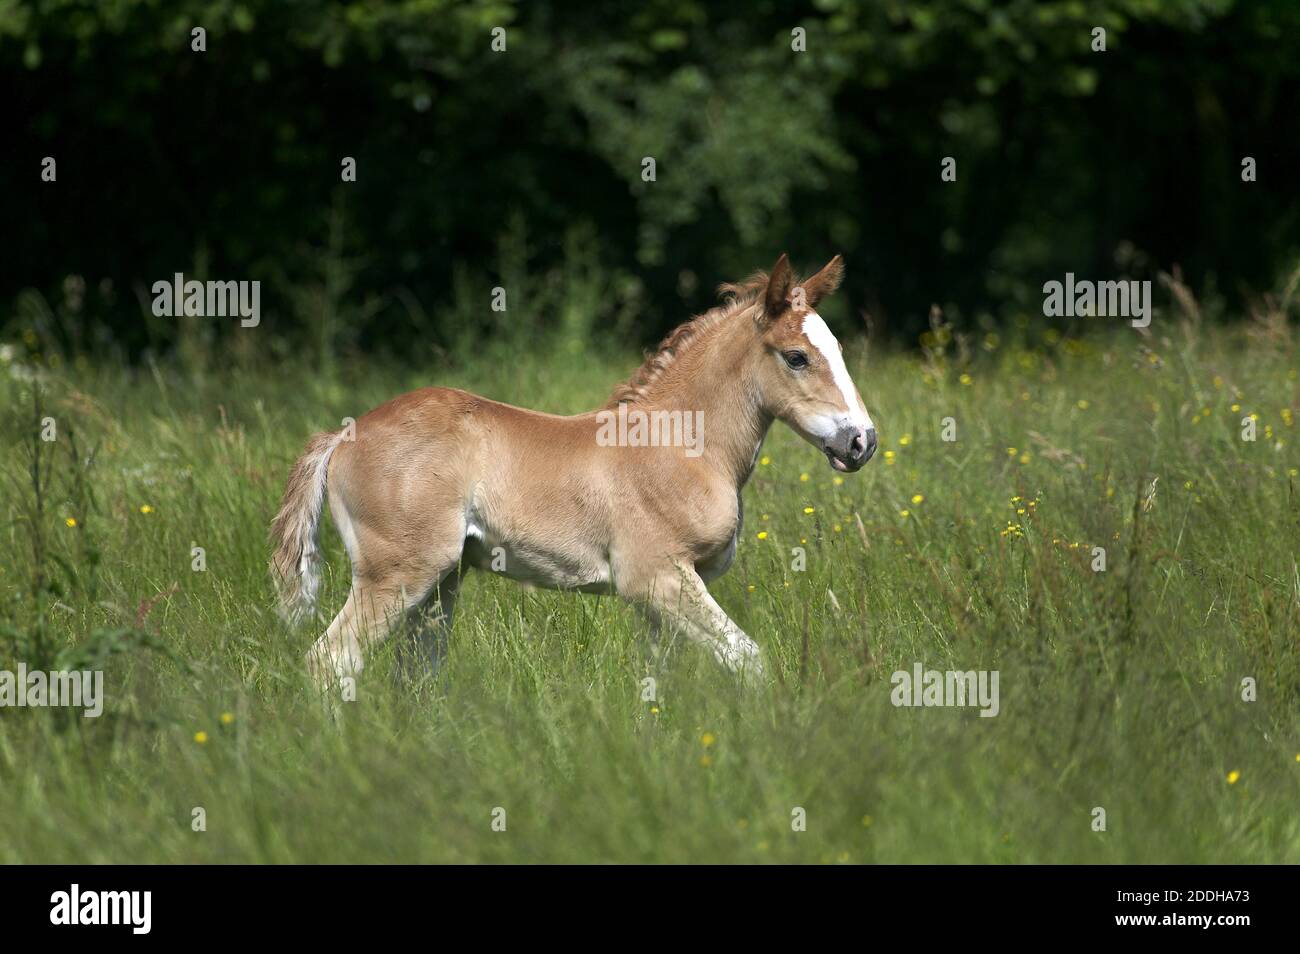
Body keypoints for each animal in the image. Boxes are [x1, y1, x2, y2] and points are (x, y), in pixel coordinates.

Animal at [270, 253, 876, 686]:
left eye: (840, 350)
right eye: (796, 356)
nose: (861, 442)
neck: (681, 445)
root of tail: (342, 436)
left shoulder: (668, 596)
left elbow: (656, 686)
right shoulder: (656, 579)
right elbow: (749, 661)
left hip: (441, 583)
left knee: (416, 675)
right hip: (397, 575)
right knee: (329, 661)